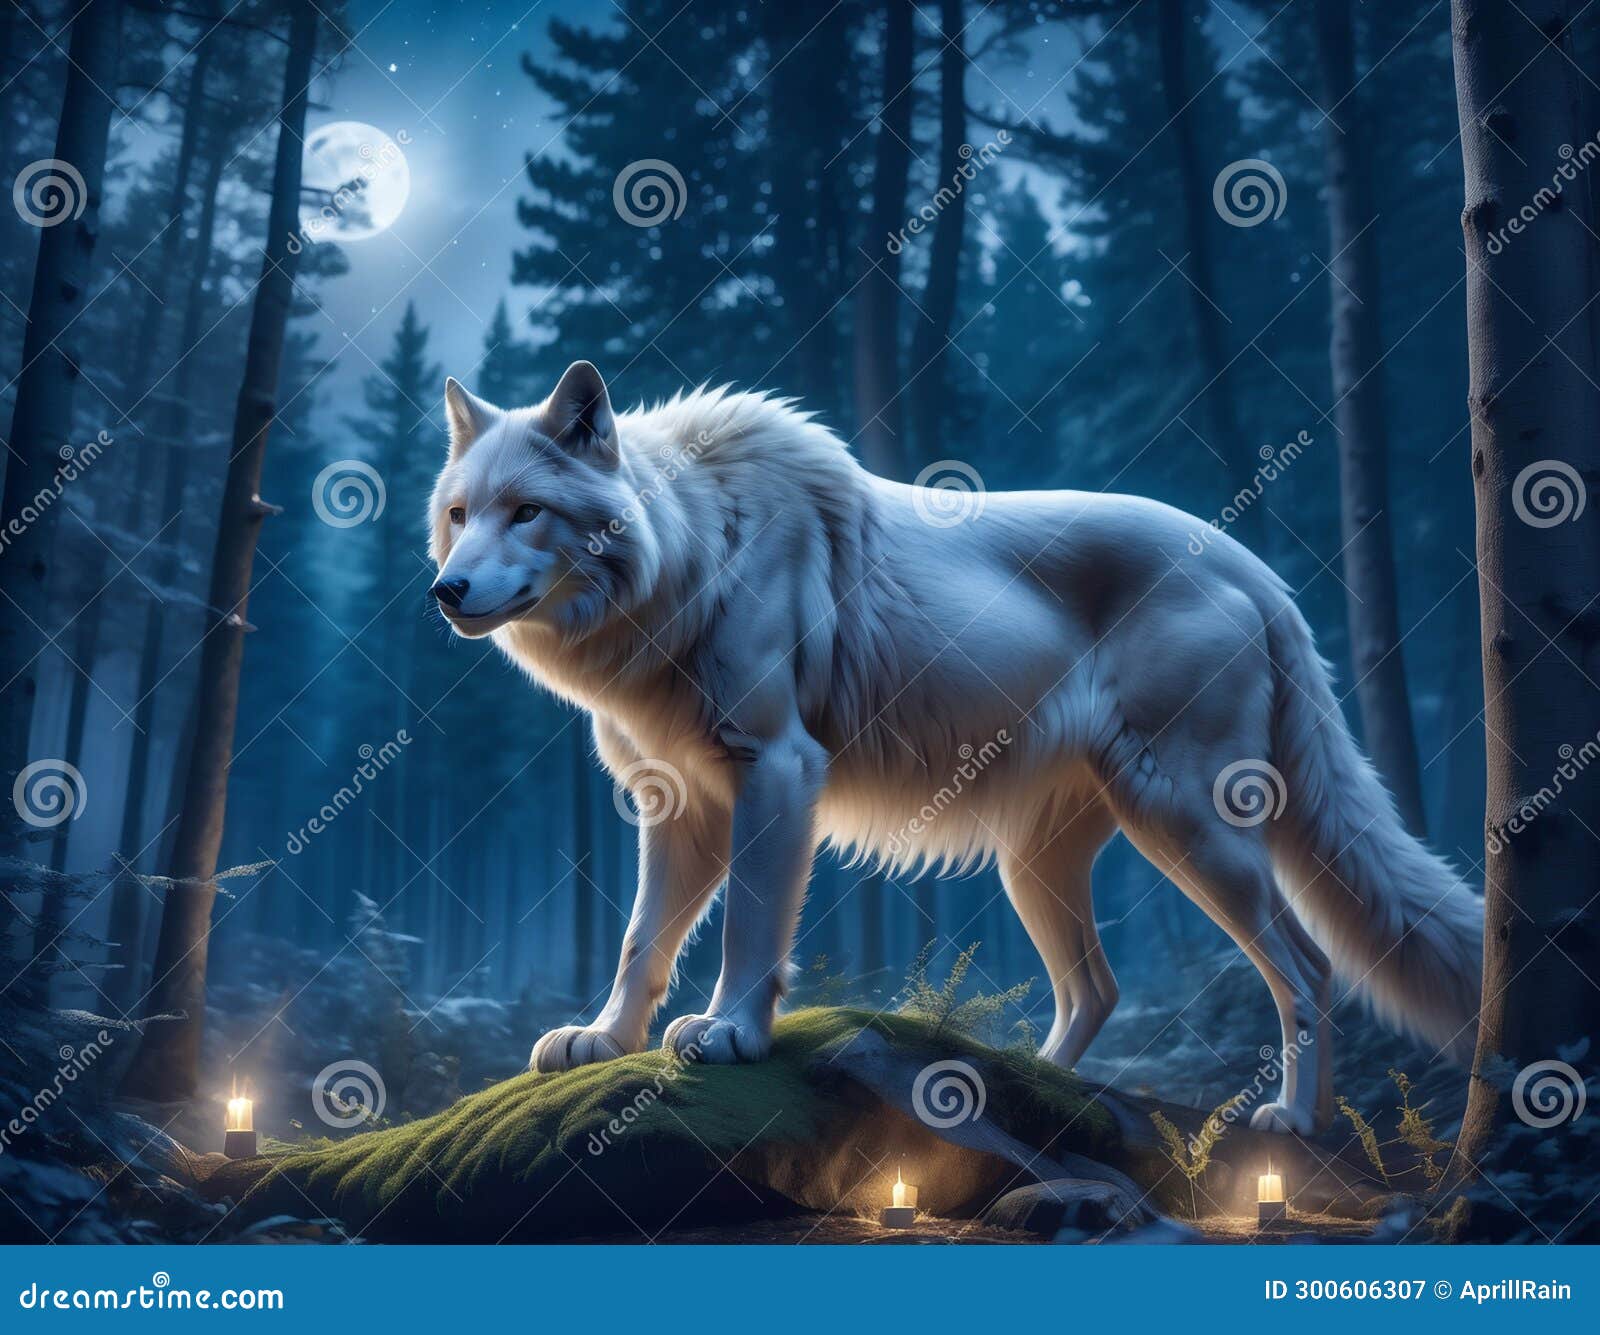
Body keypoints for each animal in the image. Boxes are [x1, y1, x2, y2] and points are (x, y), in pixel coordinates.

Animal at [428, 360, 1482, 1134]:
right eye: (459, 514)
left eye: (527, 510)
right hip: (1038, 863)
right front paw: (603, 1039)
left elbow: (749, 928)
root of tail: (1258, 571)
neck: (694, 548)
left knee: (1307, 968)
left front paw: (728, 1033)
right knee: (1096, 987)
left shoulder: (777, 769)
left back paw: (1295, 1122)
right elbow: (641, 938)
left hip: (1190, 827)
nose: (446, 589)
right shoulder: (674, 798)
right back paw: (1027, 1086)